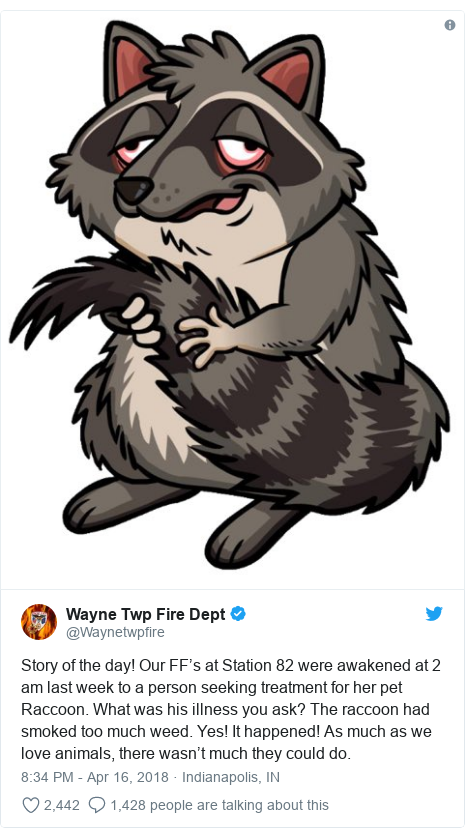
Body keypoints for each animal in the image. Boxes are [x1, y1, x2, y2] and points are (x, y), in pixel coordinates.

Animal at [11, 22, 449, 569]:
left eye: (239, 148)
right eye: (135, 145)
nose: (132, 187)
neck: (200, 250)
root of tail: (225, 486)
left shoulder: (327, 251)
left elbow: (300, 317)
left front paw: (227, 335)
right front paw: (134, 318)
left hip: (386, 416)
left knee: (310, 488)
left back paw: (261, 515)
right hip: (110, 401)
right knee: (166, 472)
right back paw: (136, 489)